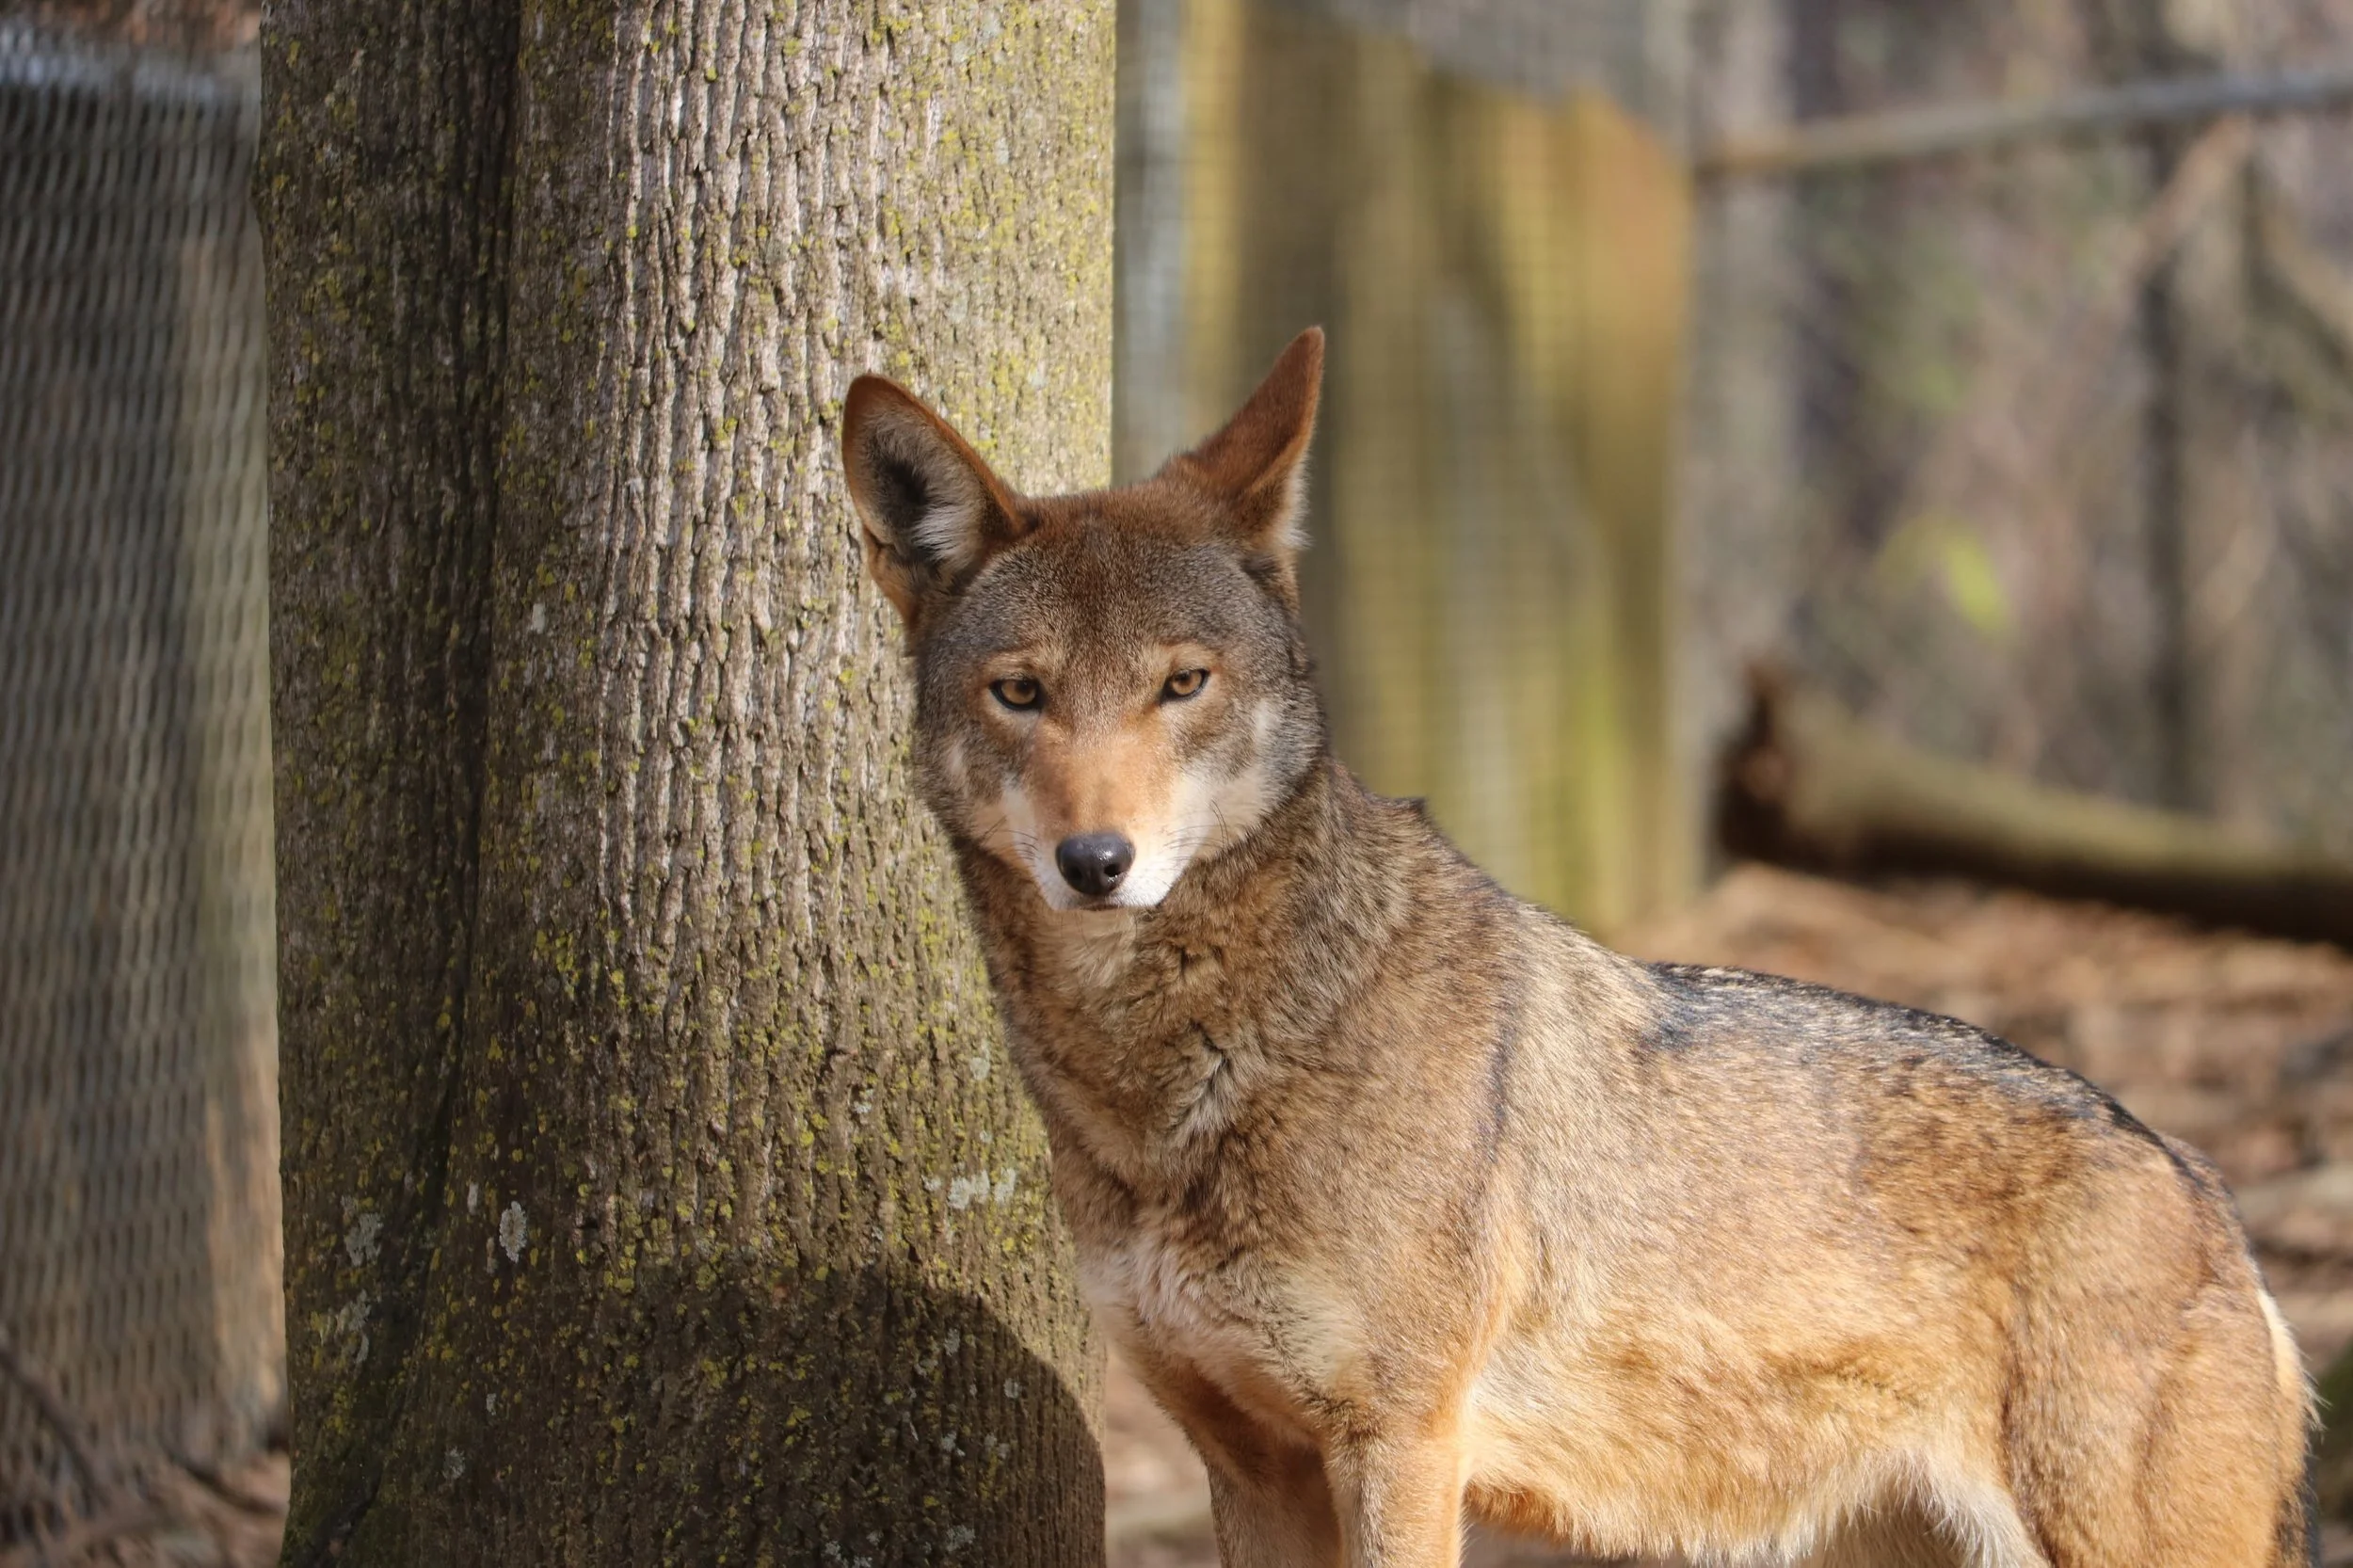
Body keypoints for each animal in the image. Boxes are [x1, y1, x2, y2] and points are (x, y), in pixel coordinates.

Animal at [840, 328, 2316, 1567]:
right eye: (1020, 692)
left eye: (1181, 684)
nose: (1097, 863)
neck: (1174, 1089)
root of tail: (2210, 1197)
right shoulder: (1250, 1462)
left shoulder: (1402, 1445)